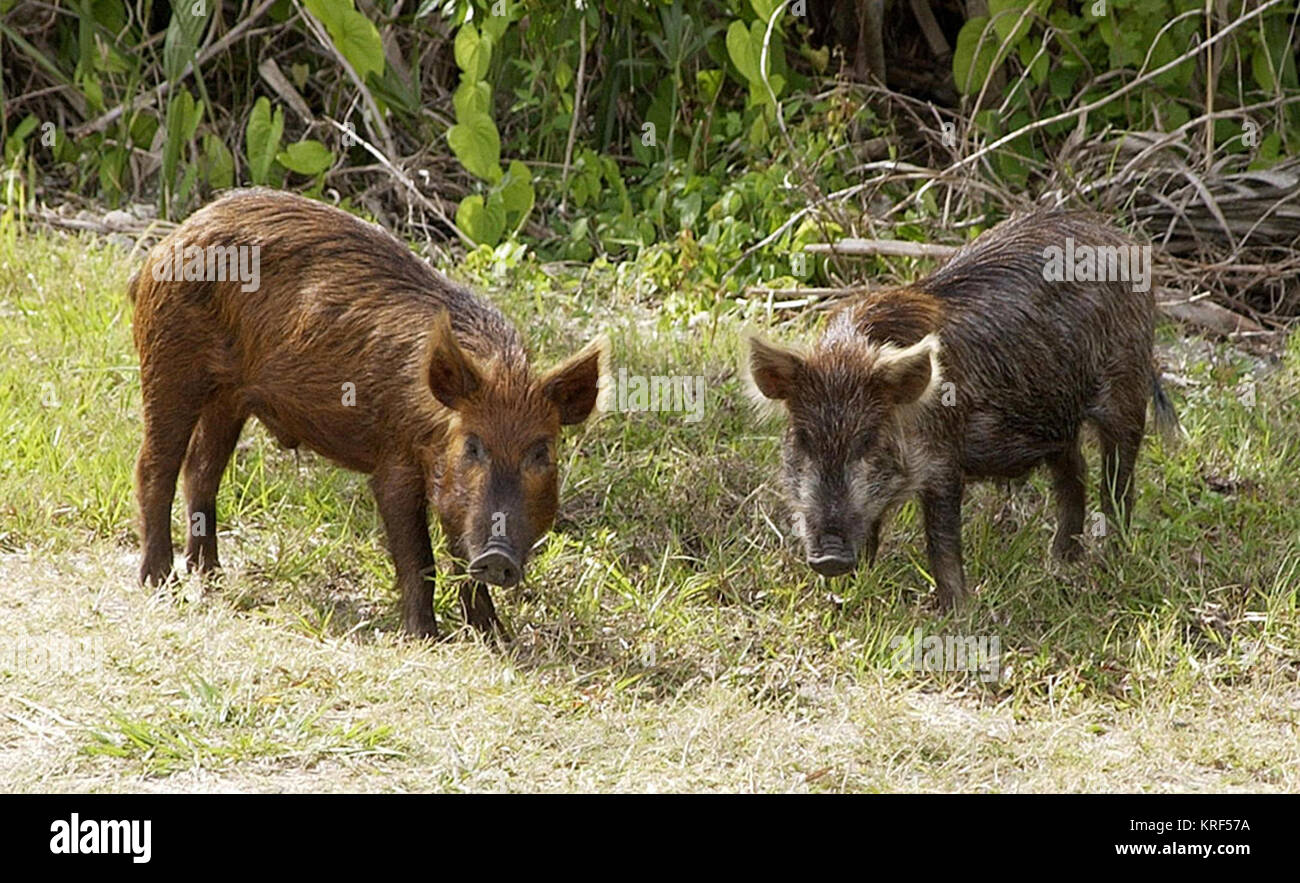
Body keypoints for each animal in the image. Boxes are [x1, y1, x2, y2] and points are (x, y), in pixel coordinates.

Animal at [129, 188, 606, 638]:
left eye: (541, 453)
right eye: (473, 446)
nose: (497, 555)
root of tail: (166, 243)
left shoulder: (453, 493)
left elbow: (460, 558)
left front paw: (496, 638)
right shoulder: (394, 463)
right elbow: (419, 557)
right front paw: (425, 638)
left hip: (229, 398)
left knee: (201, 471)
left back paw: (210, 574)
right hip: (170, 364)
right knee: (155, 466)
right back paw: (160, 581)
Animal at [745, 209, 1178, 608]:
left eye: (868, 440)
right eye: (803, 439)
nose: (830, 558)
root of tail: (1123, 239)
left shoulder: (943, 461)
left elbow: (941, 538)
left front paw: (954, 610)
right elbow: (872, 528)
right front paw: (849, 593)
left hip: (1125, 391)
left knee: (1118, 484)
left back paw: (1111, 560)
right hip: (1056, 420)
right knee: (1074, 474)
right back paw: (1061, 562)